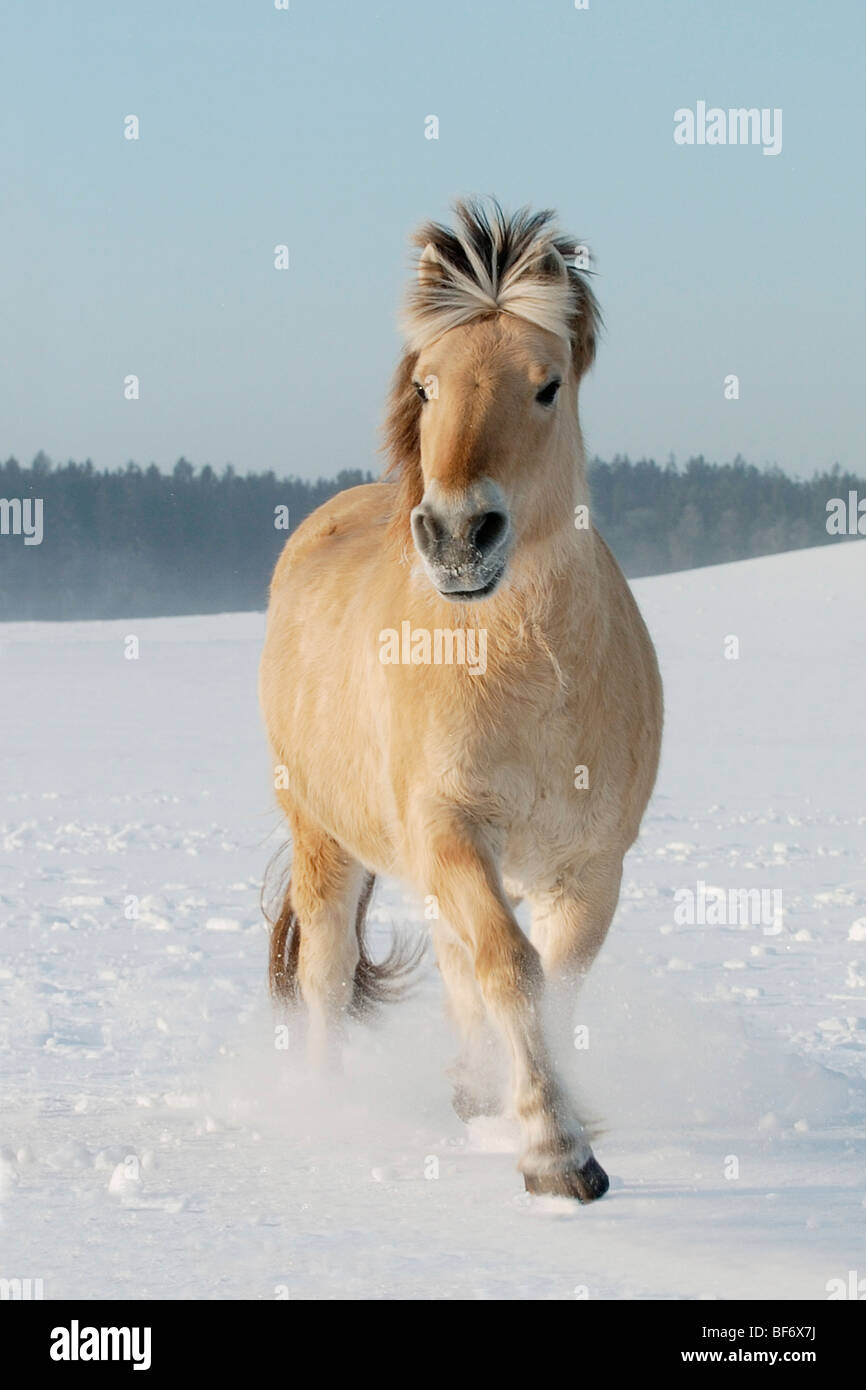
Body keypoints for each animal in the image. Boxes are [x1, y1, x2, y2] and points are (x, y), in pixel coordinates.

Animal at [259, 199, 663, 1201]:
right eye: (428, 385)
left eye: (547, 386)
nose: (455, 536)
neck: (526, 672)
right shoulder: (448, 830)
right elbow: (511, 969)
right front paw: (558, 1155)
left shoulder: (589, 868)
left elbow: (547, 983)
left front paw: (536, 1116)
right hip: (324, 836)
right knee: (327, 974)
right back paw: (328, 1110)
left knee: (453, 969)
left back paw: (475, 1094)